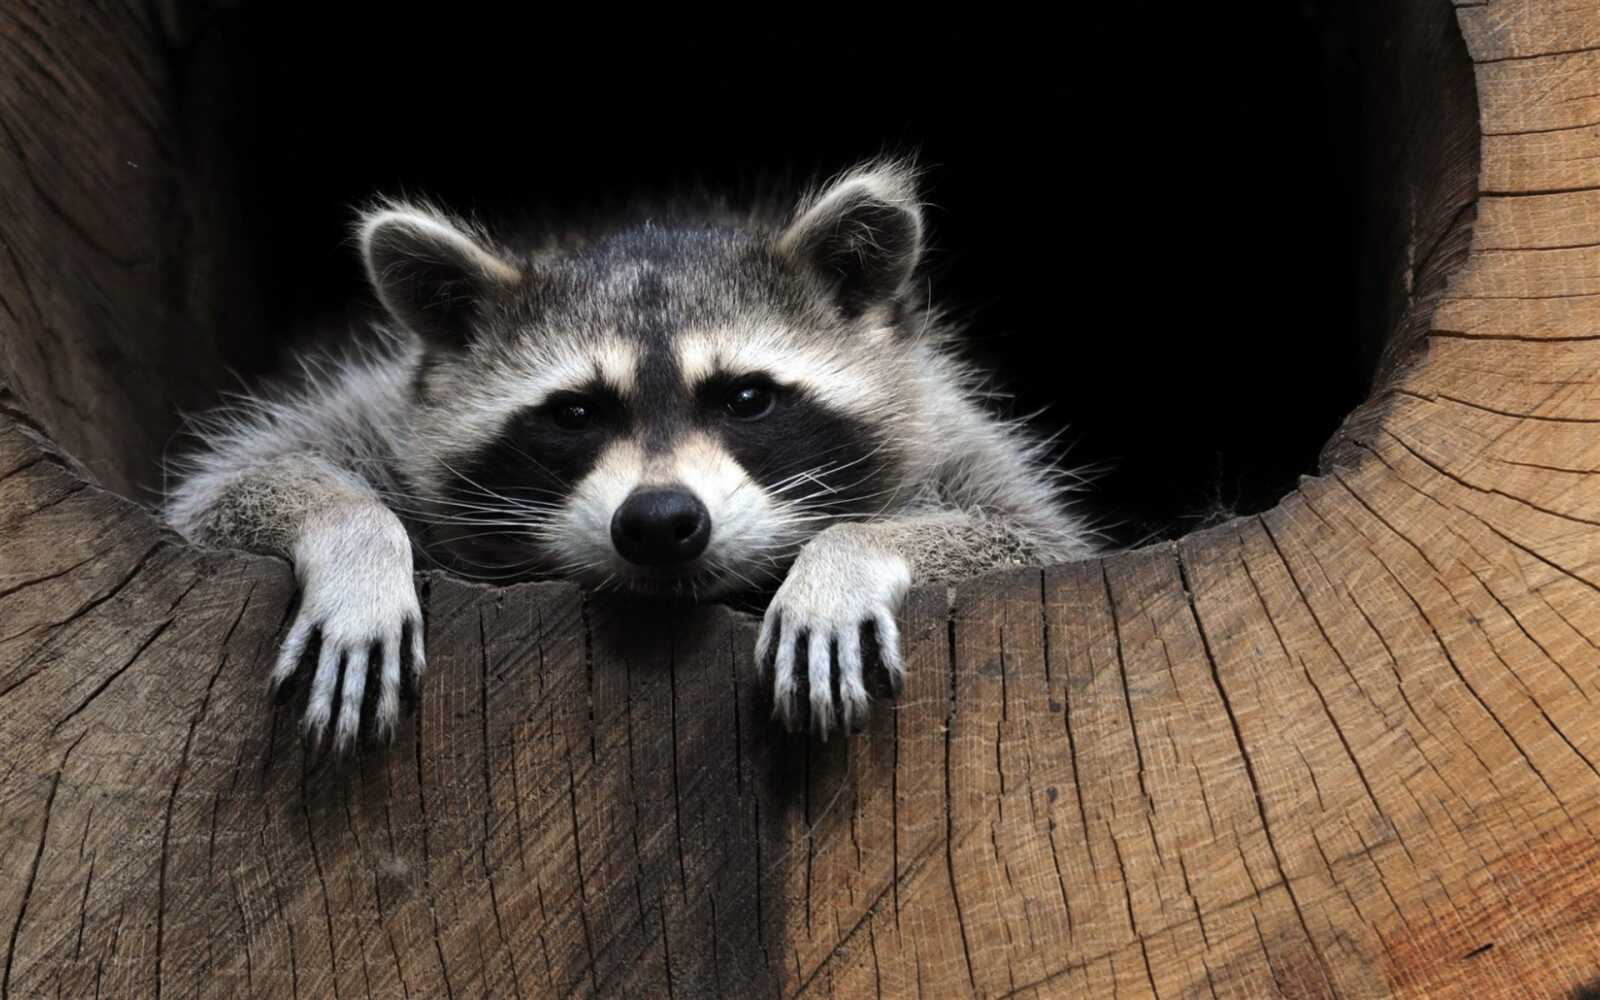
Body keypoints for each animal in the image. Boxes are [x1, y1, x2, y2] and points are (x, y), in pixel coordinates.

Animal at [166, 161, 1101, 752]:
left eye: (747, 399)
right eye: (575, 414)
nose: (659, 521)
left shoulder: (951, 428)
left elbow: (1032, 539)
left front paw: (850, 554)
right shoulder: (378, 412)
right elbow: (225, 493)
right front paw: (355, 538)